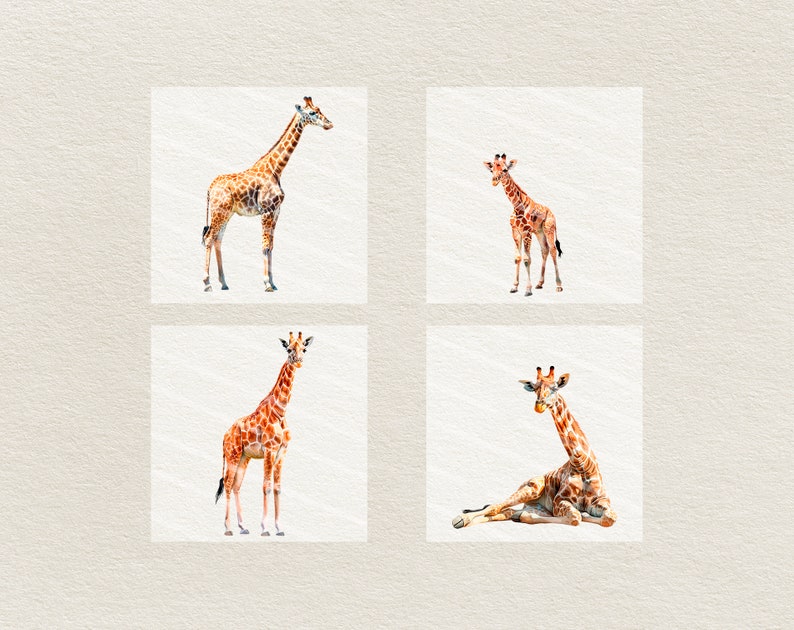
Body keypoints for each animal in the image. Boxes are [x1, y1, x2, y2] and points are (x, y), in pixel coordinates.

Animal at [201, 96, 333, 292]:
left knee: (217, 239)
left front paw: (273, 283)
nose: (329, 124)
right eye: (312, 113)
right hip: (219, 212)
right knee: (209, 238)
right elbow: (264, 246)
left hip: (226, 213)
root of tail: (210, 188)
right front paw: (266, 284)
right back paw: (207, 283)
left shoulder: (276, 211)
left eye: (319, 109)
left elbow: (271, 246)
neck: (276, 169)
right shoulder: (266, 210)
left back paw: (224, 284)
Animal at [214, 331, 314, 536]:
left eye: (304, 349)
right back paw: (228, 529)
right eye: (289, 349)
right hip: (232, 455)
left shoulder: (282, 452)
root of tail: (224, 437)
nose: (299, 361)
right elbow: (266, 486)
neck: (280, 411)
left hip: (244, 457)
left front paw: (279, 528)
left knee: (236, 486)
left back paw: (243, 527)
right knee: (227, 484)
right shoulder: (269, 450)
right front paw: (265, 528)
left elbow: (277, 487)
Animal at [452, 366, 616, 529]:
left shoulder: (601, 501)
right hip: (531, 488)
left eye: (555, 388)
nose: (539, 405)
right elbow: (575, 518)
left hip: (535, 506)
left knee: (507, 511)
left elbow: (609, 518)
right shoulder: (558, 501)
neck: (582, 465)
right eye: (535, 389)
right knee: (496, 507)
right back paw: (460, 519)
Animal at [483, 154, 563, 296]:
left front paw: (527, 289)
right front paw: (514, 286)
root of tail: (553, 214)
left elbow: (527, 258)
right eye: (492, 170)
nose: (494, 181)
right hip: (539, 232)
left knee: (553, 250)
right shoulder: (516, 232)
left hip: (549, 229)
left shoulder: (526, 232)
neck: (516, 207)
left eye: (505, 170)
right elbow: (518, 258)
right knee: (545, 250)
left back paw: (558, 285)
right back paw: (539, 283)